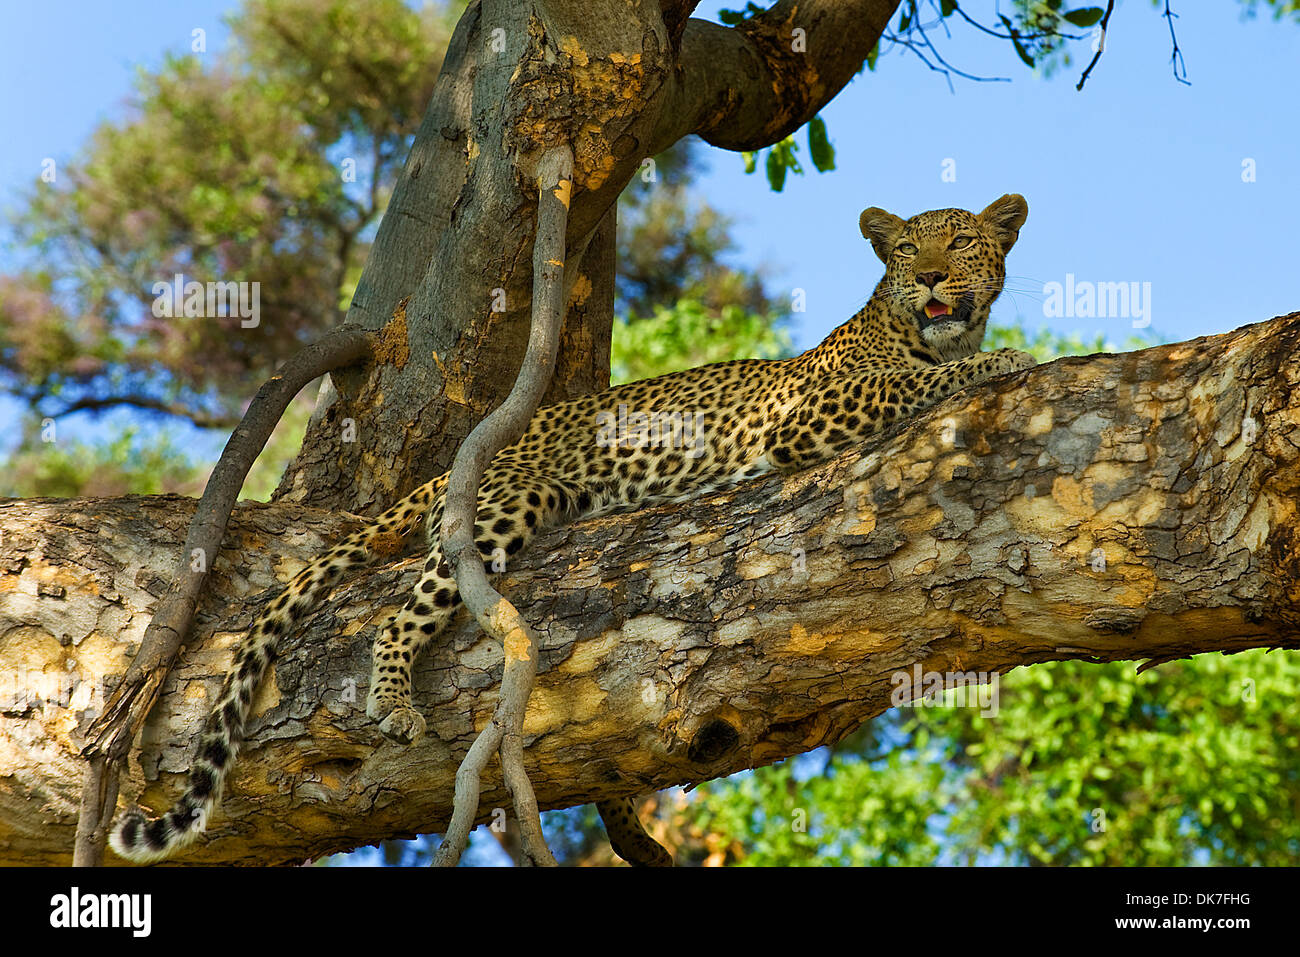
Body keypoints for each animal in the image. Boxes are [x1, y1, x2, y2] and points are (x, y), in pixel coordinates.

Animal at [108, 194, 1037, 864]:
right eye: (907, 251)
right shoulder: (812, 412)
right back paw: (395, 702)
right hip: (498, 508)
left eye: (961, 241)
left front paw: (989, 352)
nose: (930, 279)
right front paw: (1001, 359)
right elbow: (916, 382)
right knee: (397, 611)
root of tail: (459, 461)